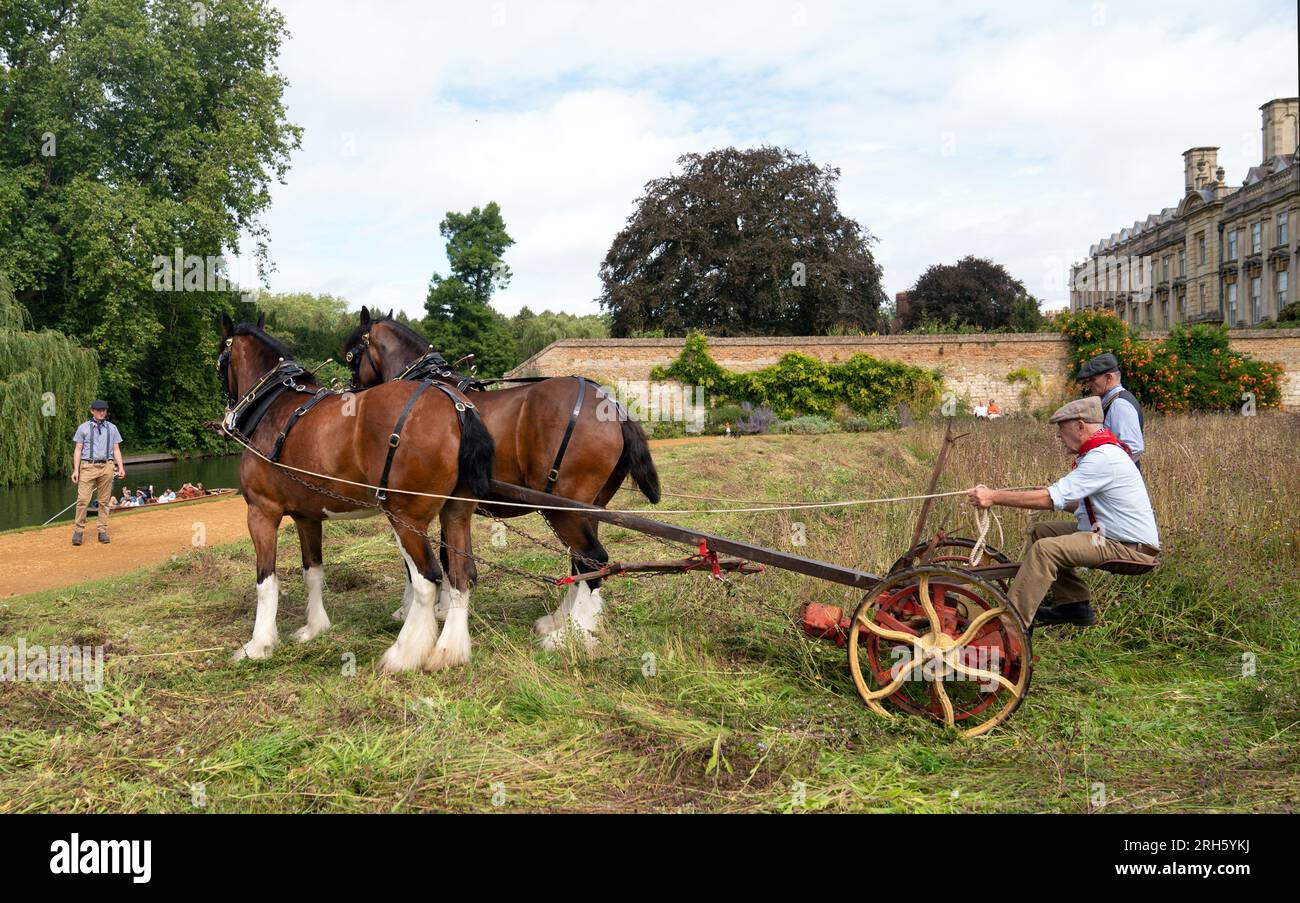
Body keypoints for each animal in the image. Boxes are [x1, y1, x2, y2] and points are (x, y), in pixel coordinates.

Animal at [218, 313, 495, 673]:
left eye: (220, 359)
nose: (226, 412)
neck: (273, 406)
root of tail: (455, 404)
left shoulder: (261, 512)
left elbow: (266, 582)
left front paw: (258, 645)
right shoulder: (308, 517)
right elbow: (313, 572)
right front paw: (314, 628)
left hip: (406, 517)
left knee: (428, 579)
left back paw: (404, 654)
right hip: (456, 514)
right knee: (462, 576)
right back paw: (449, 651)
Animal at [341, 307, 661, 649]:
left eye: (350, 356)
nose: (352, 394)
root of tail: (612, 407)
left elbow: (418, 562)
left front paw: (413, 610)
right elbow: (446, 555)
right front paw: (442, 608)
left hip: (564, 509)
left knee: (592, 558)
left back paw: (567, 633)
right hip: (590, 509)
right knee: (582, 563)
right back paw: (561, 621)